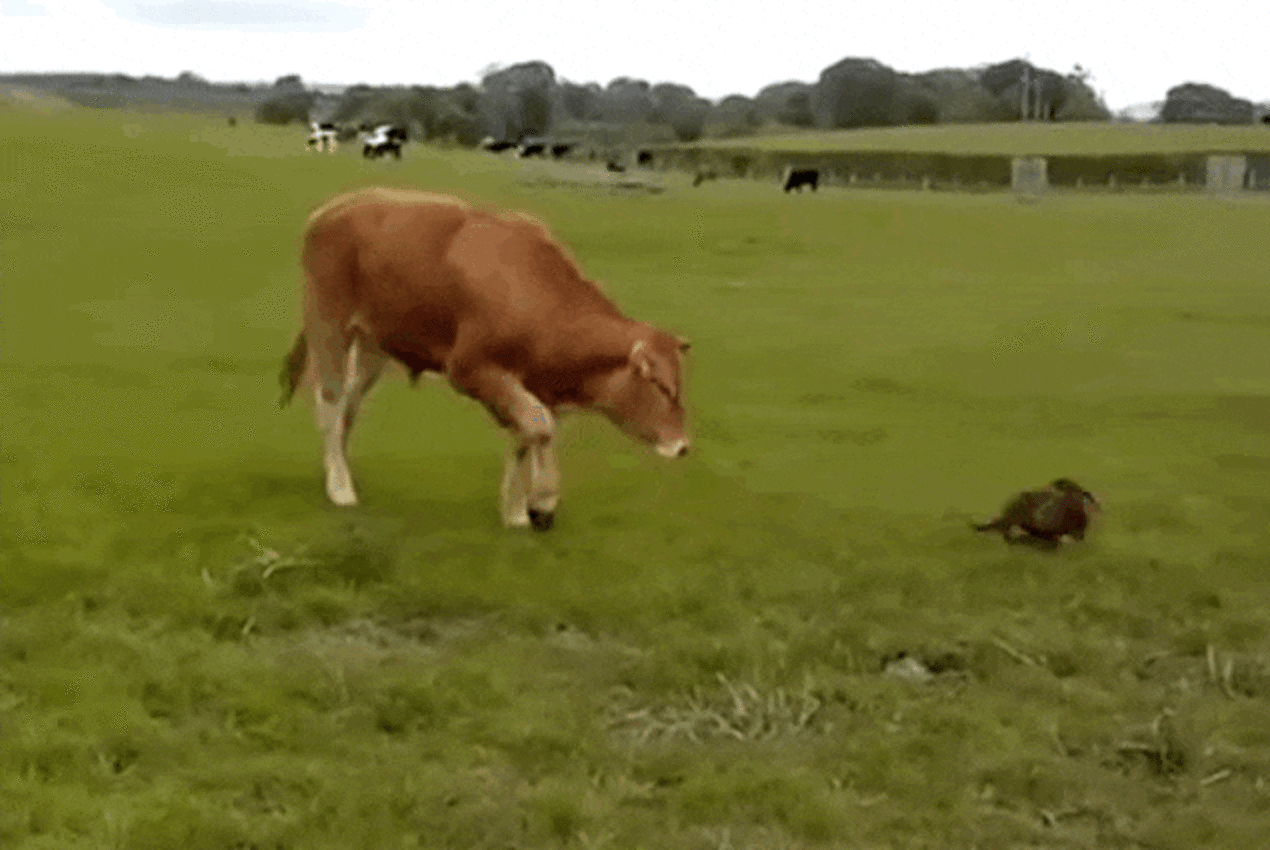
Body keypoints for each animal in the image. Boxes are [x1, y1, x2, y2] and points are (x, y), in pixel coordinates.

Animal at [280, 188, 693, 531]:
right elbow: (539, 427)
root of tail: (335, 207)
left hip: (373, 344)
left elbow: (528, 434)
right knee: (330, 402)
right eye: (660, 385)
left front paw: (518, 510)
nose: (683, 446)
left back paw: (339, 466)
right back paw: (340, 487)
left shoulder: (528, 384)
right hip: (328, 322)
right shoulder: (471, 369)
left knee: (350, 402)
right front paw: (541, 501)